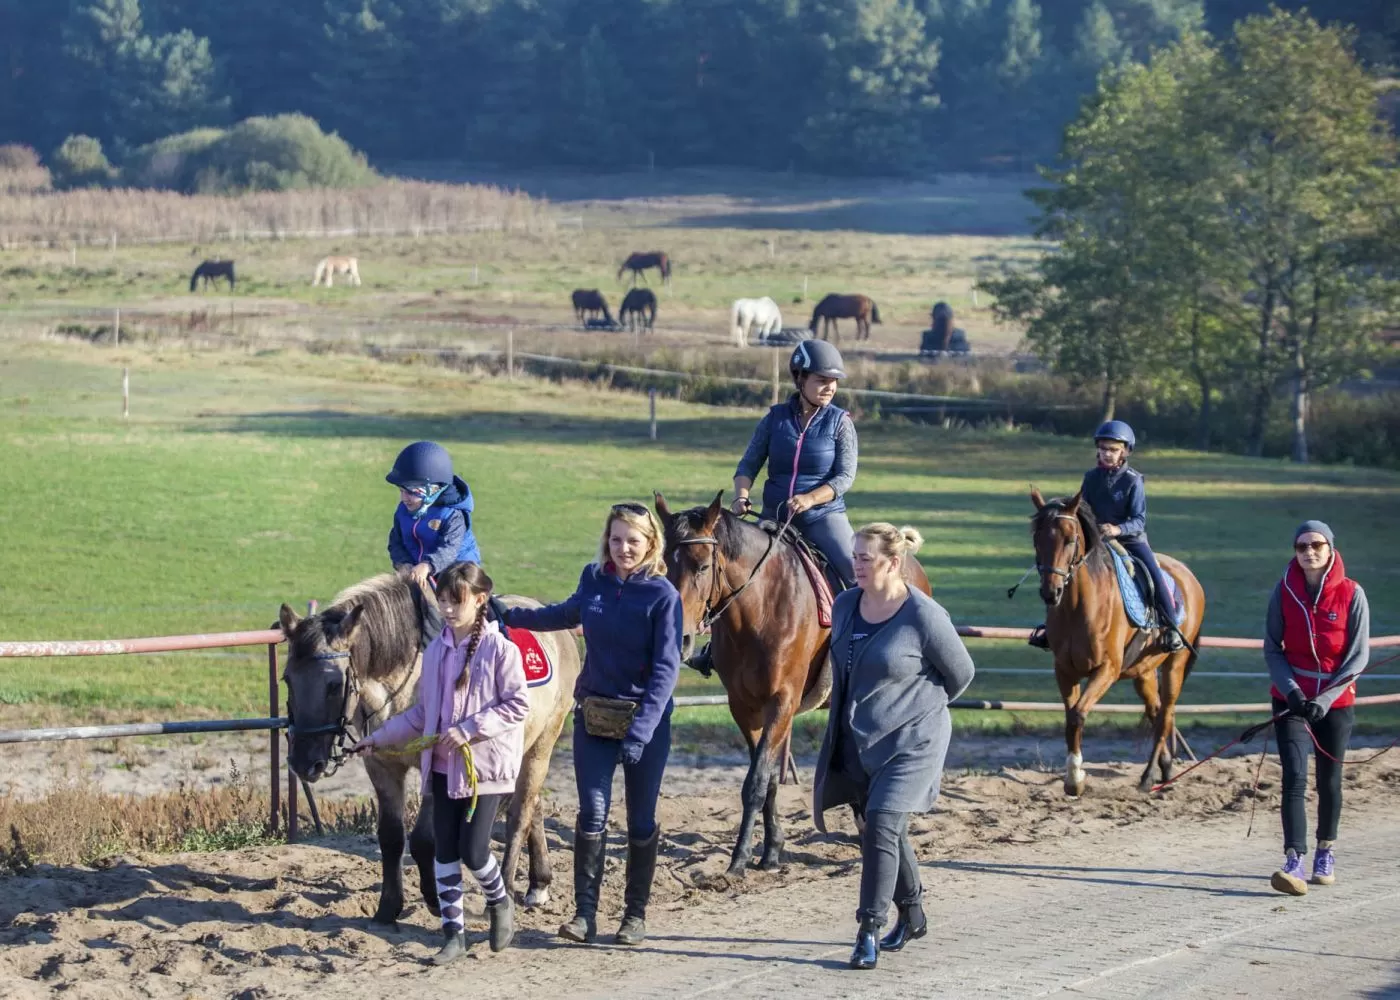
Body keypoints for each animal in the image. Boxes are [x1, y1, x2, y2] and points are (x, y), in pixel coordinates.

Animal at [275, 568, 582, 918]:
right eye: (287, 678)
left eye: (333, 684)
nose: (303, 762)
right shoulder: (380, 765)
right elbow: (391, 837)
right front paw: (388, 908)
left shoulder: (436, 765)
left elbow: (423, 839)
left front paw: (435, 898)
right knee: (534, 805)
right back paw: (538, 883)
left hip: (544, 742)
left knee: (520, 814)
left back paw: (505, 889)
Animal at [655, 490, 929, 873]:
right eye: (665, 564)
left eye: (703, 566)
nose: (678, 638)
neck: (762, 609)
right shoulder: (743, 706)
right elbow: (768, 779)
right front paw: (771, 851)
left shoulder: (782, 701)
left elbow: (755, 782)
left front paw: (739, 859)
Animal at [1030, 490, 1204, 795]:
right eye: (1037, 538)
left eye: (1070, 539)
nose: (1051, 592)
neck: (1078, 607)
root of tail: (1188, 575)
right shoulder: (1065, 670)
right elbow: (1070, 718)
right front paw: (1073, 778)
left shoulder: (1107, 670)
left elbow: (1078, 715)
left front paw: (1075, 779)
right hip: (1144, 672)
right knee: (1156, 710)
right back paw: (1165, 767)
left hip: (1175, 664)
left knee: (1165, 714)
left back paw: (1148, 777)